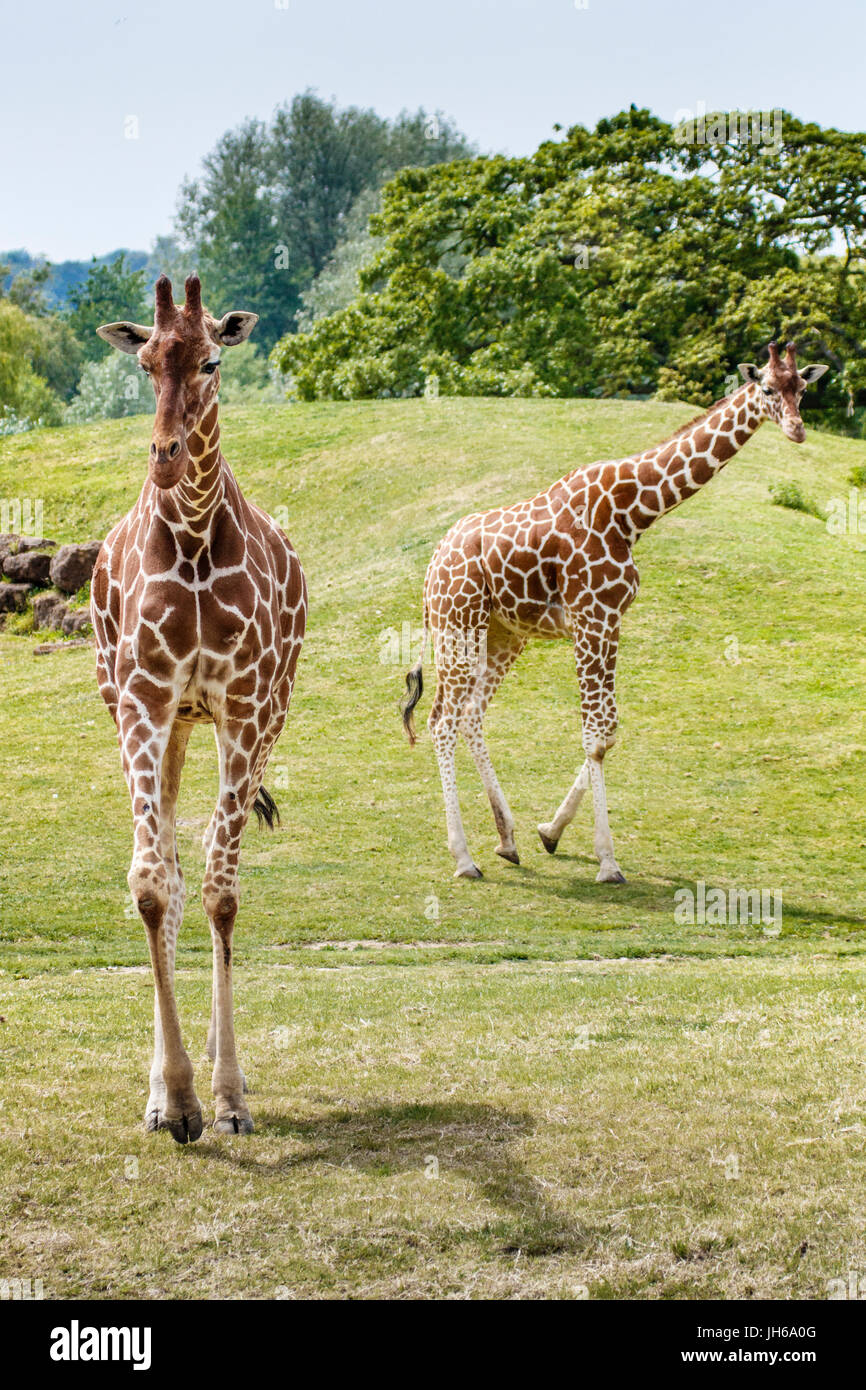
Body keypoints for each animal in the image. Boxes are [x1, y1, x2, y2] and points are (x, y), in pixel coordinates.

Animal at [402, 342, 828, 881]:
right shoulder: (593, 617)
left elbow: (607, 731)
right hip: (458, 625)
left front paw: (550, 832)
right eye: (768, 388)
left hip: (502, 634)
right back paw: (464, 858)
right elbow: (597, 734)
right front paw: (607, 861)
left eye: (803, 388)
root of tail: (432, 565)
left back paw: (507, 840)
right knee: (441, 720)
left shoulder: (610, 620)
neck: (634, 511)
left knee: (471, 715)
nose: (797, 429)